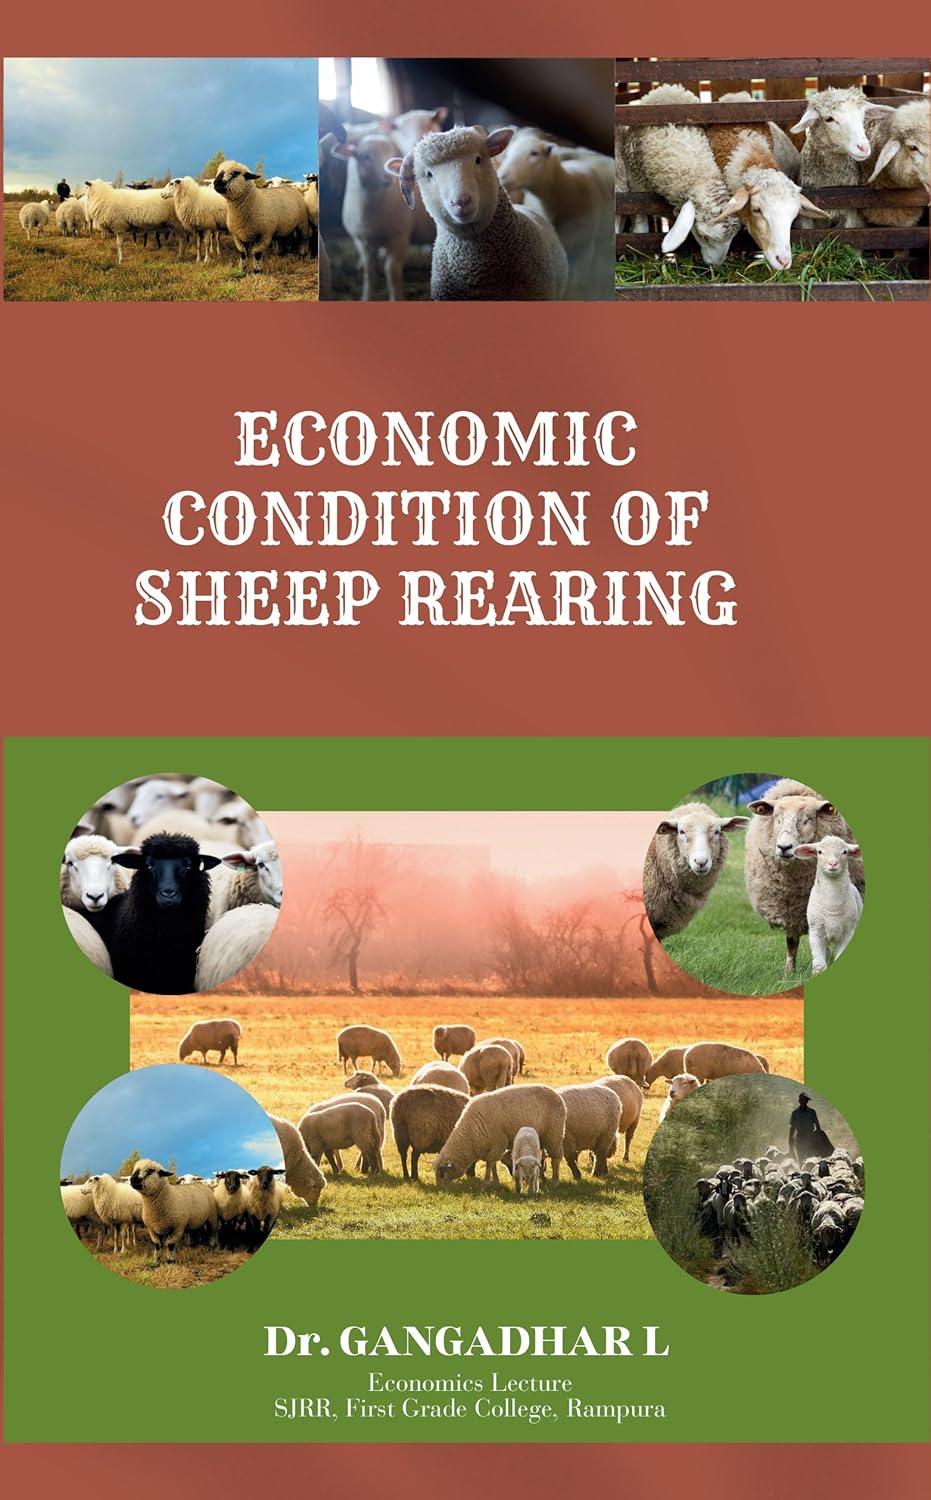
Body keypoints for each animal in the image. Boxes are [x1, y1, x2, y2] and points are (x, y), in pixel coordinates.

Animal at [335, 132, 414, 301]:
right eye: (366, 156)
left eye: (392, 154)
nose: (388, 177)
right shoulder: (360, 240)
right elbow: (369, 270)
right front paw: (366, 297)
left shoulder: (400, 236)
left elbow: (392, 270)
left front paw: (396, 298)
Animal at [434, 1083, 567, 1188]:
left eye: (441, 1173)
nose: (439, 1189)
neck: (470, 1135)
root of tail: (557, 1095)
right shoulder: (490, 1146)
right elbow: (493, 1165)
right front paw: (496, 1182)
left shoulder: (498, 1142)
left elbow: (489, 1164)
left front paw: (487, 1183)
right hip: (542, 1137)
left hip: (554, 1133)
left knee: (556, 1159)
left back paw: (555, 1182)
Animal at [792, 836, 864, 974]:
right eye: (819, 852)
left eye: (845, 852)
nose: (833, 864)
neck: (832, 907)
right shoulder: (815, 931)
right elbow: (819, 964)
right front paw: (818, 972)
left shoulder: (848, 933)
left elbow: (838, 955)